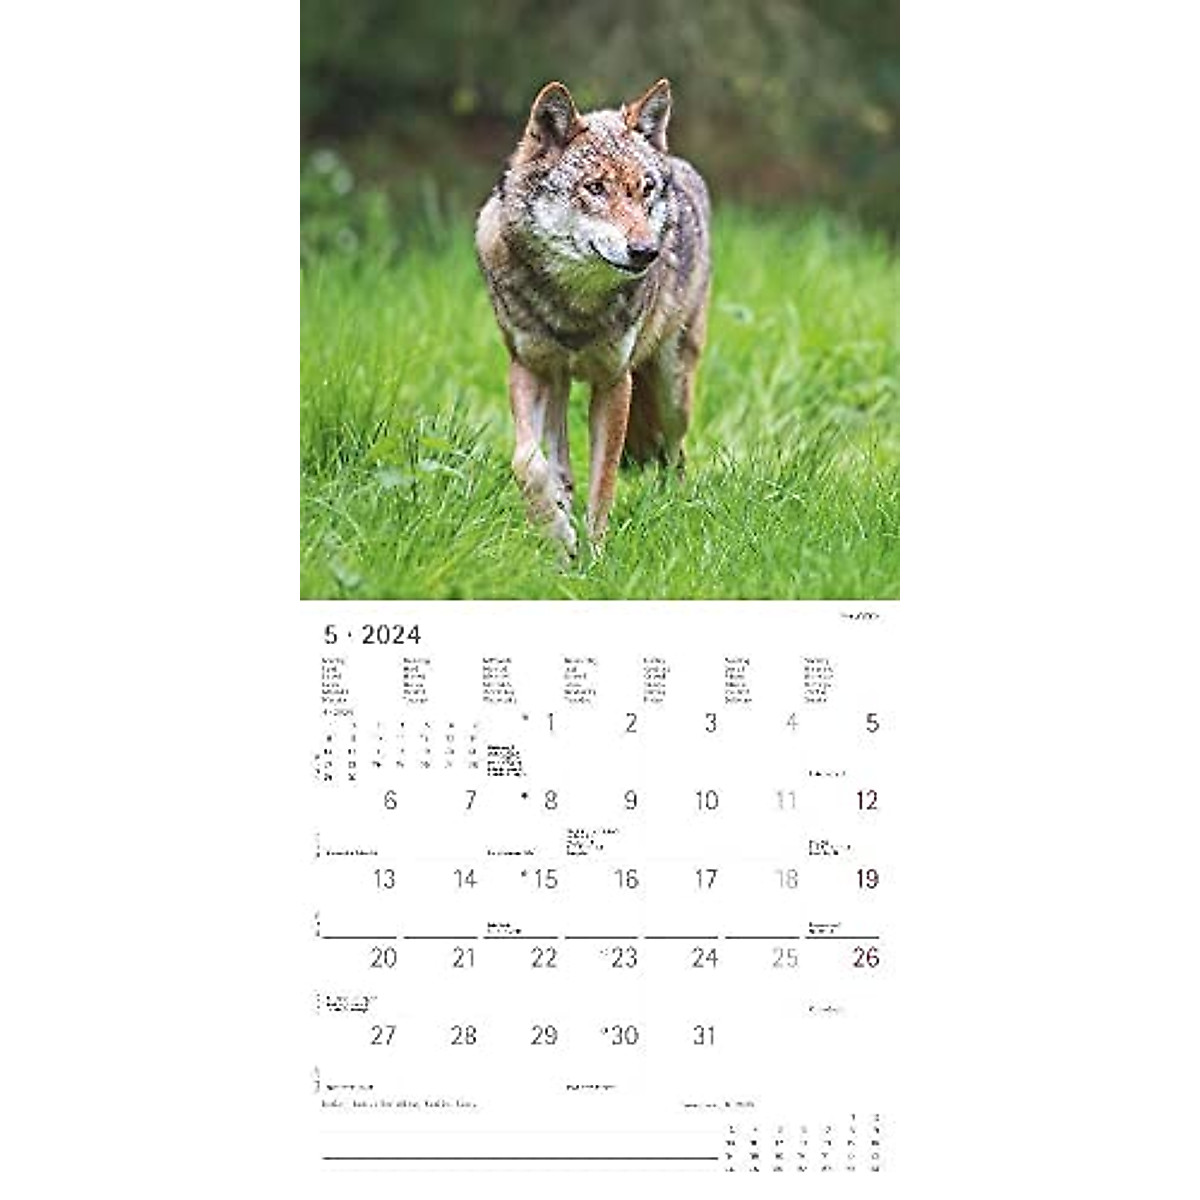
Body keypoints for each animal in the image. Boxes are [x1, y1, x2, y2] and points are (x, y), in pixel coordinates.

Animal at [475, 78, 711, 555]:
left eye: (645, 189)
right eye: (596, 188)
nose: (646, 251)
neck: (575, 308)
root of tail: (678, 163)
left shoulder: (614, 382)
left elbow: (603, 483)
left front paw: (596, 555)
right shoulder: (527, 368)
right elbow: (527, 461)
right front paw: (558, 534)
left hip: (672, 391)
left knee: (674, 452)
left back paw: (674, 505)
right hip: (559, 380)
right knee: (560, 458)